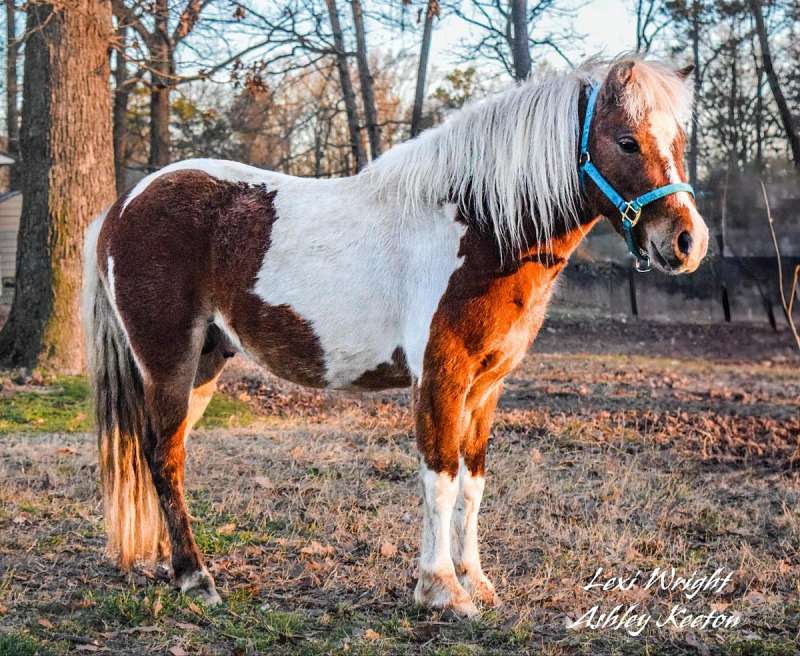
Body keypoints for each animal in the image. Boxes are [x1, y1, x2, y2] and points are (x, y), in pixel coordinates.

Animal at [81, 56, 709, 618]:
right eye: (626, 141)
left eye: (678, 140)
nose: (687, 242)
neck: (477, 227)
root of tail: (125, 205)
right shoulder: (440, 377)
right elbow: (440, 480)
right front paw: (441, 590)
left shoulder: (486, 389)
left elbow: (473, 485)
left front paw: (477, 583)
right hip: (169, 360)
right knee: (163, 456)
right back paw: (197, 577)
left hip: (207, 363)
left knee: (166, 454)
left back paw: (168, 562)